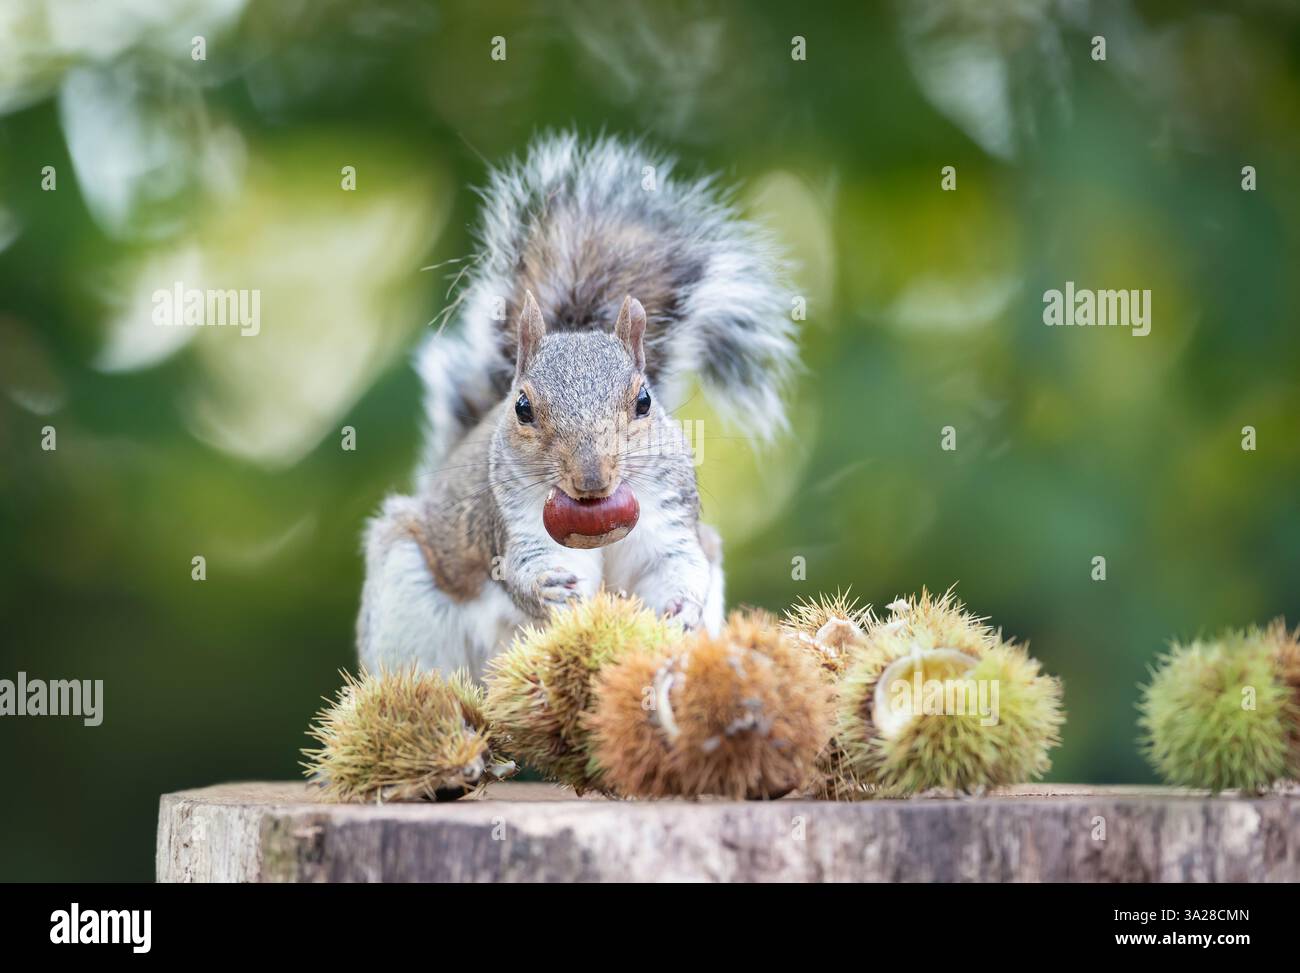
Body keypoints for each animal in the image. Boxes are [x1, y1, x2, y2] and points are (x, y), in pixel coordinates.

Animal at [357, 132, 795, 680]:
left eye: (644, 401)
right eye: (522, 408)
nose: (592, 478)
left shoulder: (670, 518)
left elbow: (676, 566)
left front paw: (682, 609)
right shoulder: (514, 525)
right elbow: (521, 572)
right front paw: (542, 591)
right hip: (408, 592)